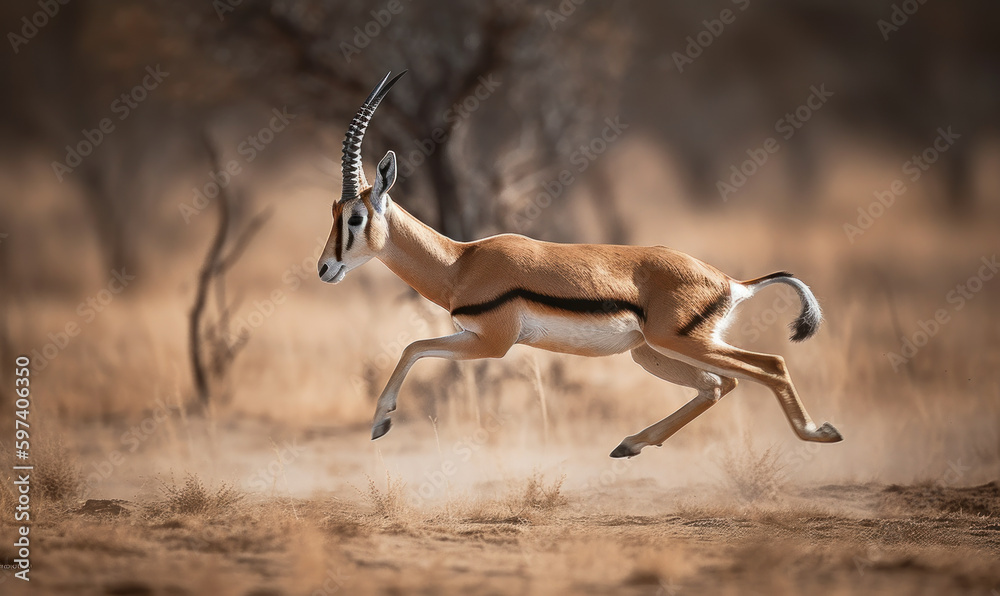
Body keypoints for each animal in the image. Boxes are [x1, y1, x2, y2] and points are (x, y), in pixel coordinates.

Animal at [318, 71, 843, 458]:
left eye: (356, 217)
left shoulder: (491, 344)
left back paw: (819, 433)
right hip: (651, 352)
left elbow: (413, 346)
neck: (461, 264)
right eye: (334, 211)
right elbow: (413, 347)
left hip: (680, 342)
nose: (324, 268)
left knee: (769, 365)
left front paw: (380, 422)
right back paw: (630, 444)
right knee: (720, 384)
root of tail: (733, 282)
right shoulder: (477, 338)